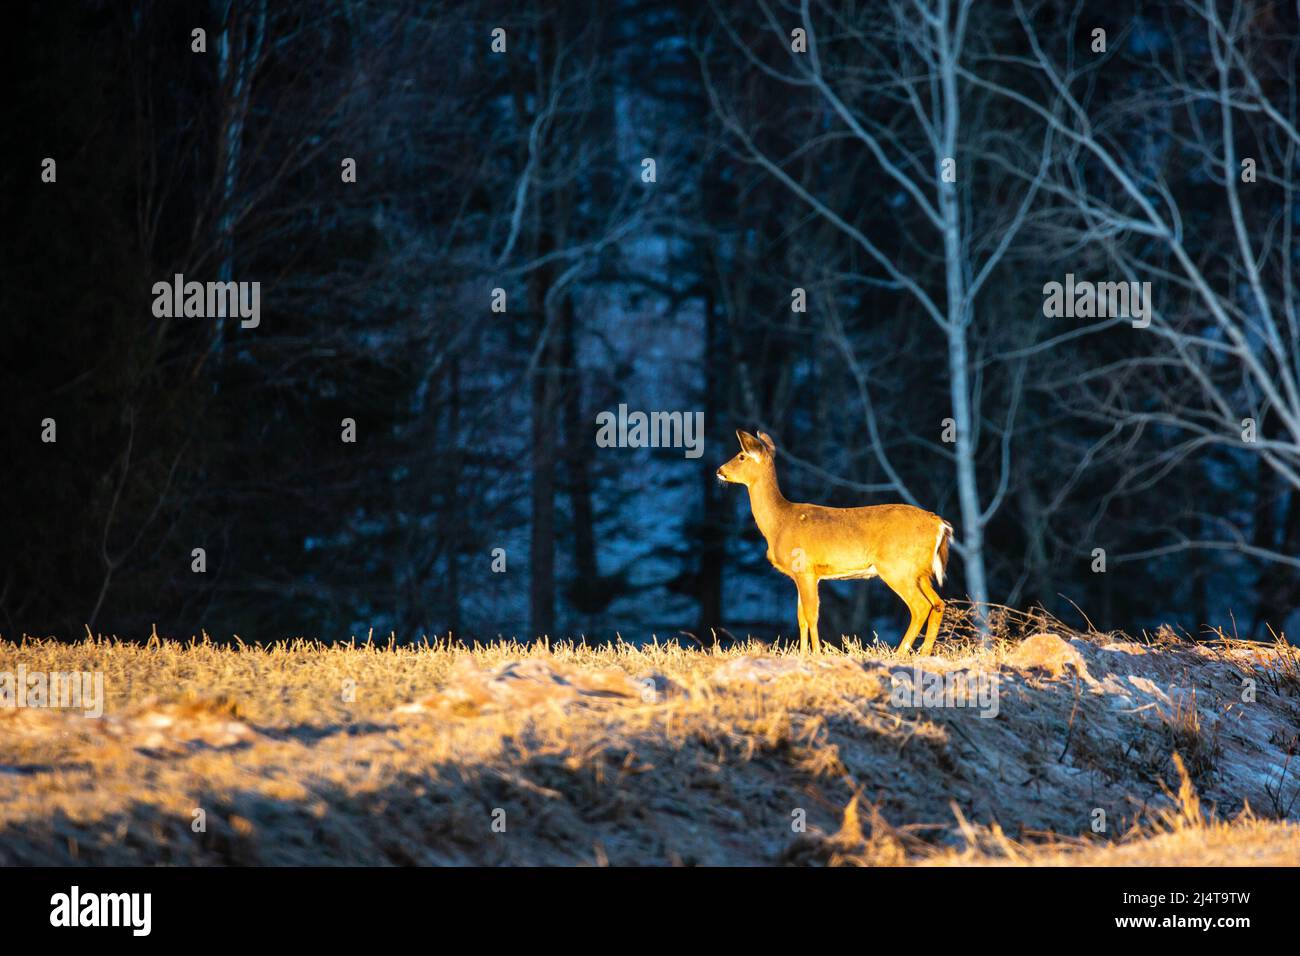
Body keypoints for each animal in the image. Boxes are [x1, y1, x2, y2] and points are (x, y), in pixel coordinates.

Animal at [716, 430, 953, 655]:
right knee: (938, 603)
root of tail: (939, 524)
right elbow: (801, 617)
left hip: (897, 567)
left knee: (920, 606)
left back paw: (900, 653)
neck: (779, 523)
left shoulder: (805, 569)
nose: (719, 470)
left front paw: (817, 653)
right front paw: (803, 654)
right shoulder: (803, 575)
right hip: (920, 572)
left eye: (741, 456)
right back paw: (924, 652)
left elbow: (811, 615)